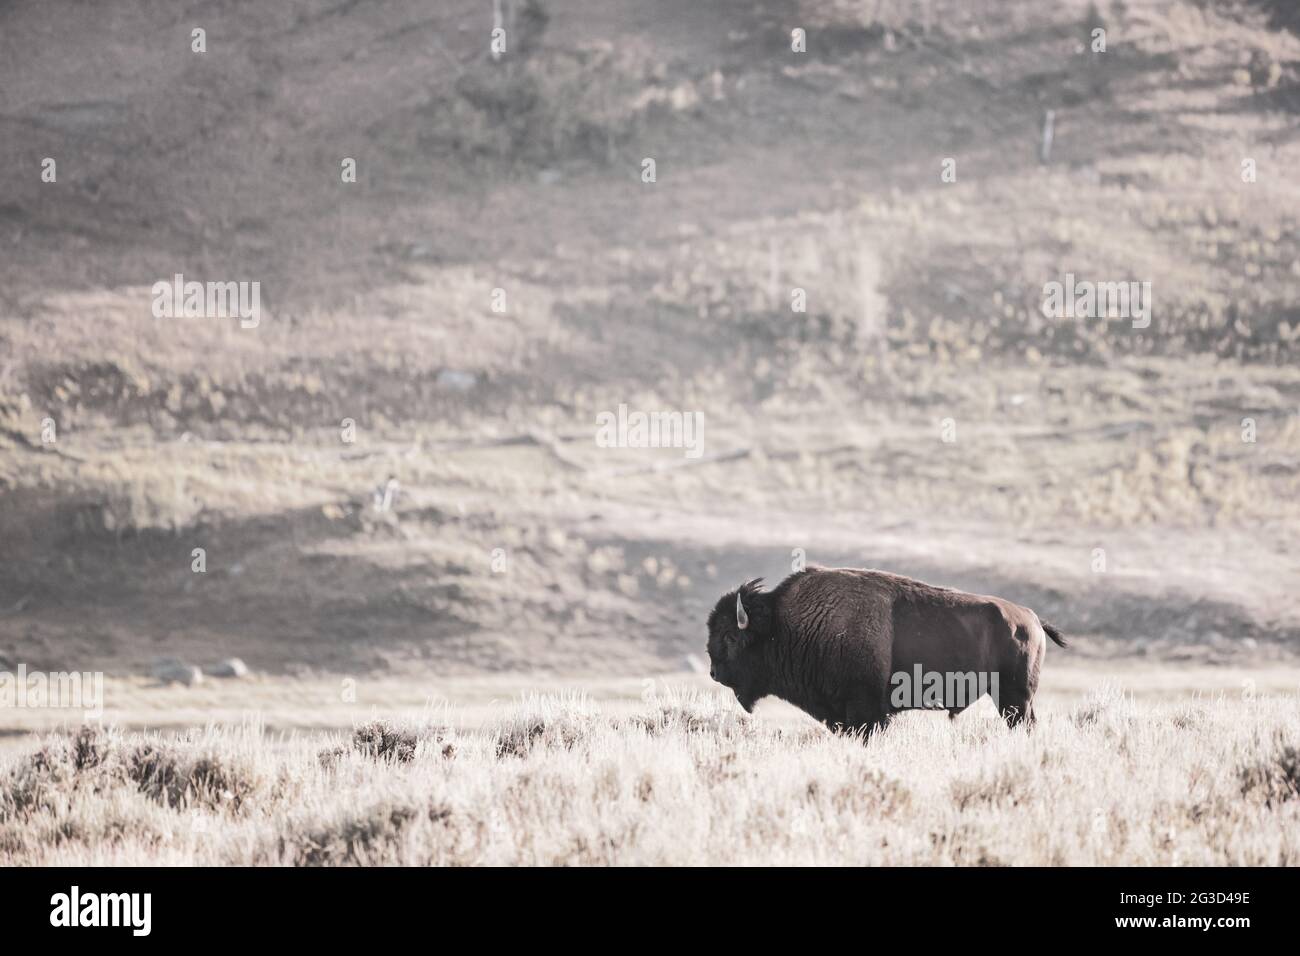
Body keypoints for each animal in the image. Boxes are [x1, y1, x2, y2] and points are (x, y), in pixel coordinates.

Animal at [706, 566, 1066, 736]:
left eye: (731, 636)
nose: (713, 671)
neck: (783, 623)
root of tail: (1032, 618)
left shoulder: (865, 711)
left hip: (1015, 698)